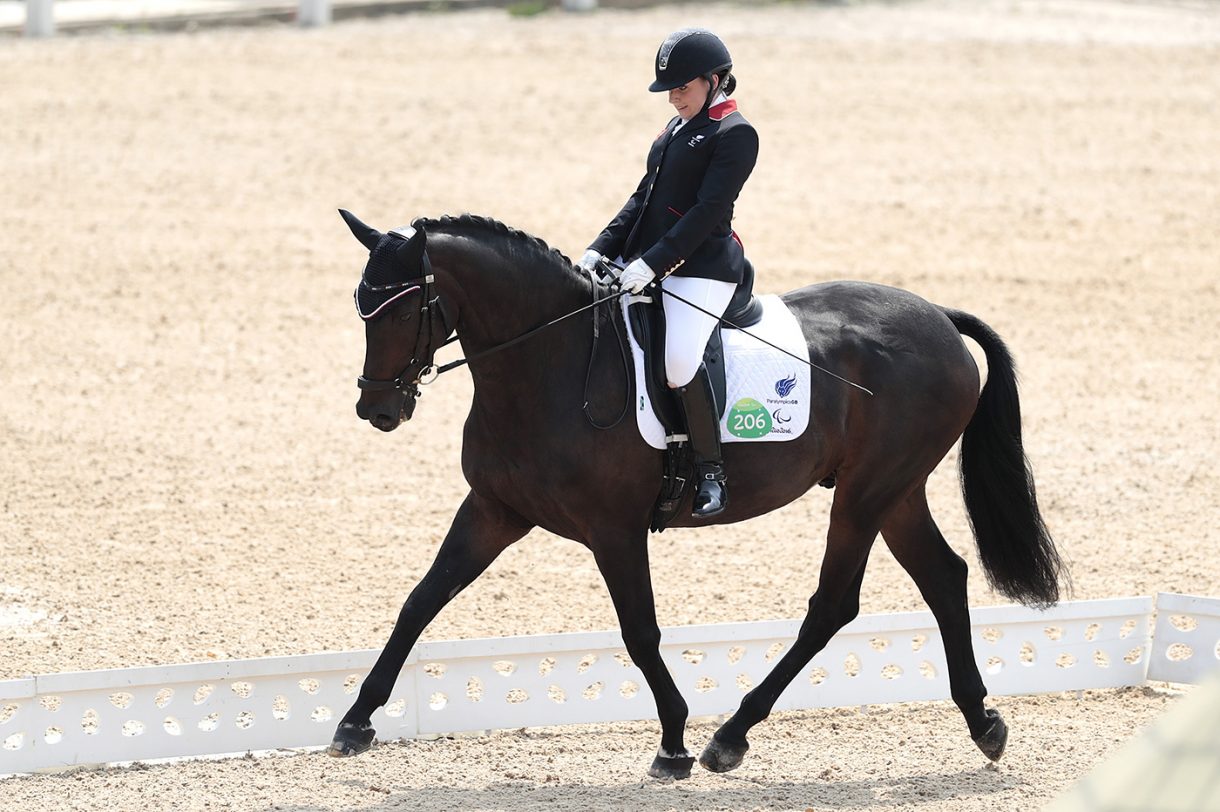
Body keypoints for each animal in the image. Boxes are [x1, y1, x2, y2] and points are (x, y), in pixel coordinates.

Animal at [328, 209, 1066, 780]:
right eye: (362, 306)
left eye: (404, 308)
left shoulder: (614, 528)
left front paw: (674, 741)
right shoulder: (493, 510)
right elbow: (421, 601)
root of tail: (938, 316)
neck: (549, 364)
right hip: (895, 491)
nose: (377, 410)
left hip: (867, 493)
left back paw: (728, 738)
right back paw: (984, 722)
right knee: (943, 576)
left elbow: (639, 630)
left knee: (834, 604)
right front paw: (354, 722)